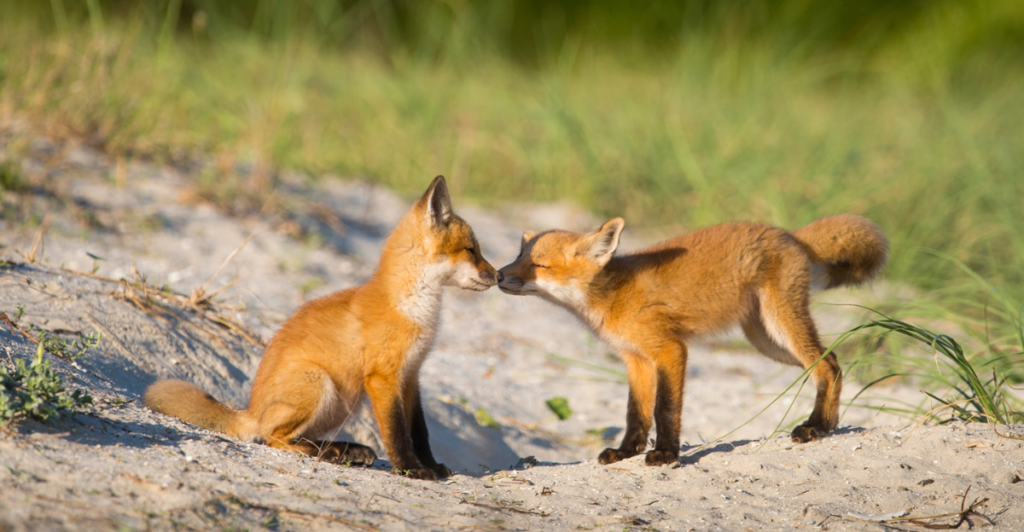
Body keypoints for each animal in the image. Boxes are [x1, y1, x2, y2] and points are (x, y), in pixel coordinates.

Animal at [145, 176, 498, 480]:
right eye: (471, 250)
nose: (497, 276)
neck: (414, 308)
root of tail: (250, 410)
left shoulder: (411, 376)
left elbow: (420, 433)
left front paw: (431, 466)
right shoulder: (383, 378)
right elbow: (397, 433)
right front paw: (411, 470)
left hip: (342, 404)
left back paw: (345, 450)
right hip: (320, 384)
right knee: (275, 438)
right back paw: (328, 453)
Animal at [497, 214, 887, 466]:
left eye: (539, 265)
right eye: (518, 256)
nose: (499, 274)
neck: (612, 297)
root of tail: (785, 232)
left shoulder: (670, 351)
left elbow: (664, 409)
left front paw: (666, 454)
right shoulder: (636, 359)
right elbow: (635, 413)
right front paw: (626, 453)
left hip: (782, 325)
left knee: (828, 364)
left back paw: (815, 427)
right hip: (767, 341)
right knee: (831, 363)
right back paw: (828, 425)